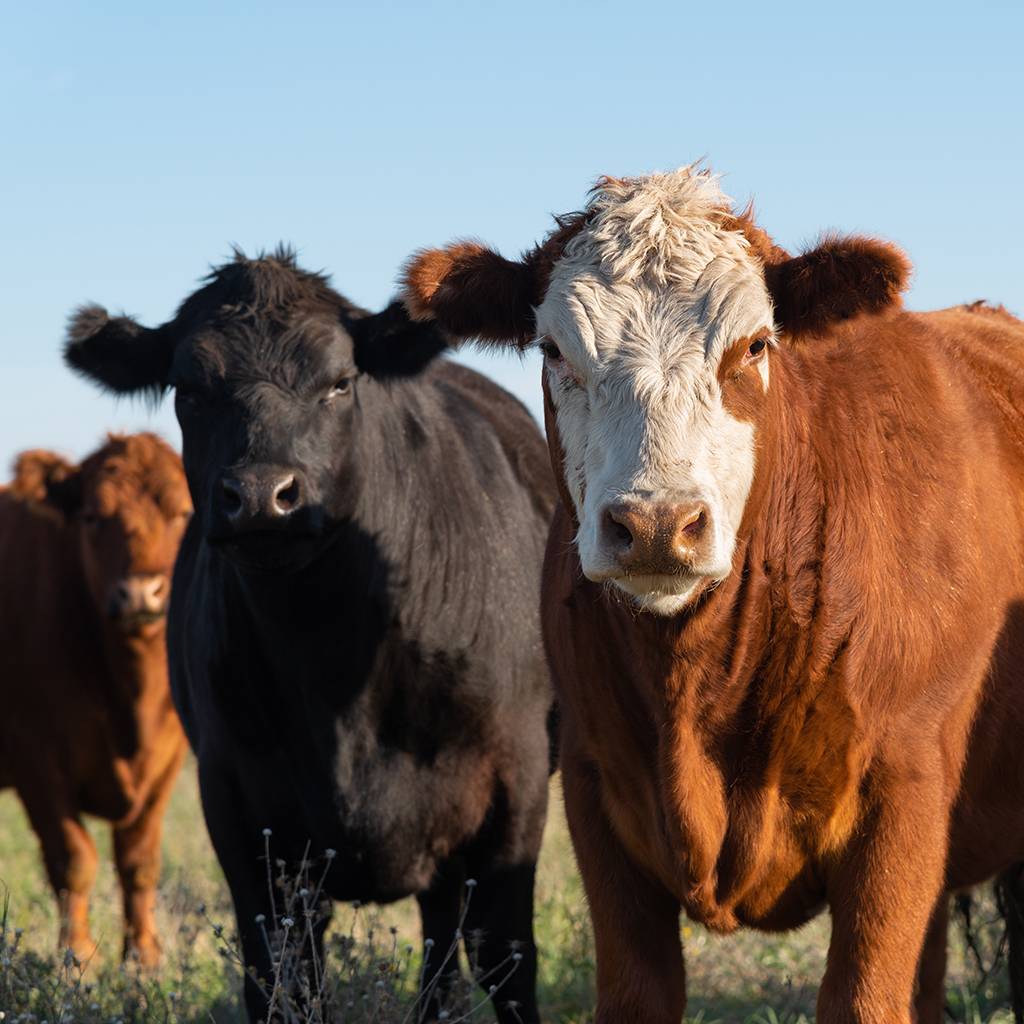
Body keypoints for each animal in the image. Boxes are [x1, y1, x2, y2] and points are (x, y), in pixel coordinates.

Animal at [0, 433, 190, 966]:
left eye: (183, 513)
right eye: (91, 517)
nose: (140, 593)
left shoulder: (169, 759)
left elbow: (139, 861)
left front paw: (144, 957)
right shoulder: (34, 755)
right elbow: (74, 859)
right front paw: (77, 957)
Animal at [62, 249, 558, 1023]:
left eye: (340, 382)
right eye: (188, 388)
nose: (262, 496)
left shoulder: (517, 781)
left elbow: (507, 962)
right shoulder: (236, 802)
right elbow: (281, 973)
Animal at [400, 166, 1024, 1024]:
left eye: (755, 344)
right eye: (554, 349)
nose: (657, 523)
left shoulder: (905, 794)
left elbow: (864, 997)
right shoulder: (596, 791)